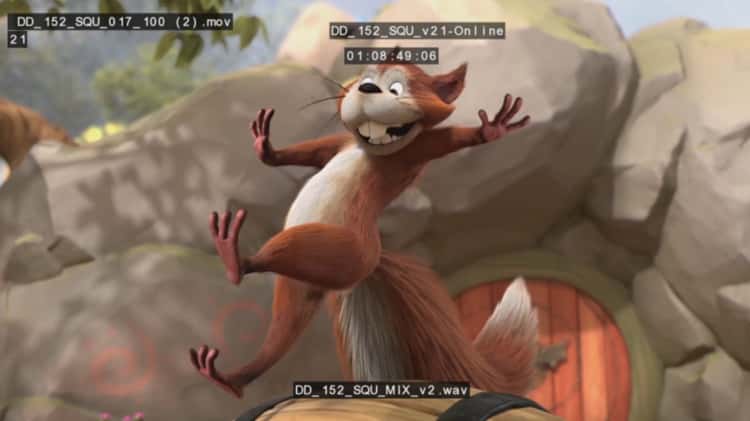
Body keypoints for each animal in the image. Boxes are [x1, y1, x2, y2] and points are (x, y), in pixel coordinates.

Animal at [189, 59, 537, 400]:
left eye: (397, 88)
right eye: (365, 78)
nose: (367, 88)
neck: (371, 148)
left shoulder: (419, 147)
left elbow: (449, 139)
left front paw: (491, 129)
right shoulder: (341, 142)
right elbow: (317, 150)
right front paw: (266, 148)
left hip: (343, 253)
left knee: (288, 260)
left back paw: (235, 261)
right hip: (299, 287)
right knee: (281, 333)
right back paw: (230, 377)